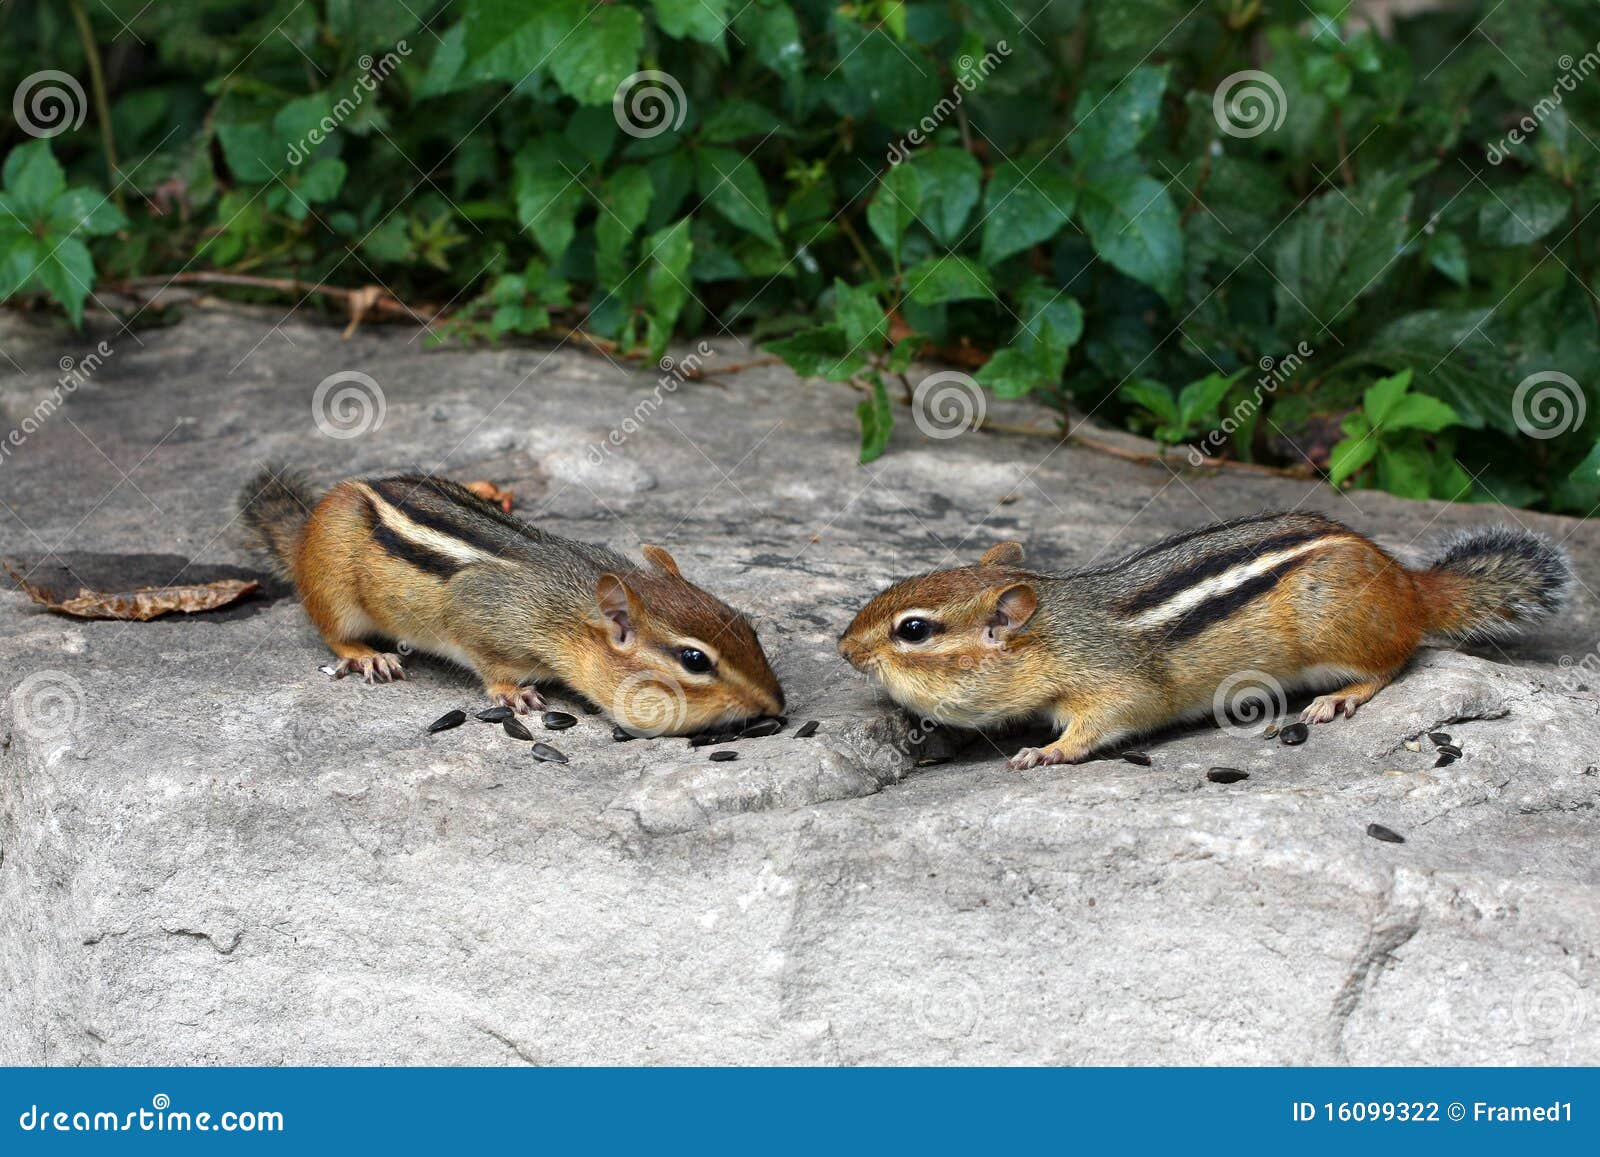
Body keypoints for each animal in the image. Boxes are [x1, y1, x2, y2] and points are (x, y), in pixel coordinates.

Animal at [237, 467, 784, 734]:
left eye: (748, 626)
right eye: (695, 660)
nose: (777, 704)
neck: (568, 606)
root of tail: (304, 532)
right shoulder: (482, 618)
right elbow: (489, 663)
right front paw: (512, 693)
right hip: (334, 588)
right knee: (333, 633)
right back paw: (369, 656)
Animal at [837, 511, 1572, 770]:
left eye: (913, 629)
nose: (844, 649)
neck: (1059, 627)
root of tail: (1408, 584)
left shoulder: (1115, 686)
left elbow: (1102, 724)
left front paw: (1044, 752)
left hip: (1336, 627)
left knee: (1393, 660)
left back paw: (1337, 698)